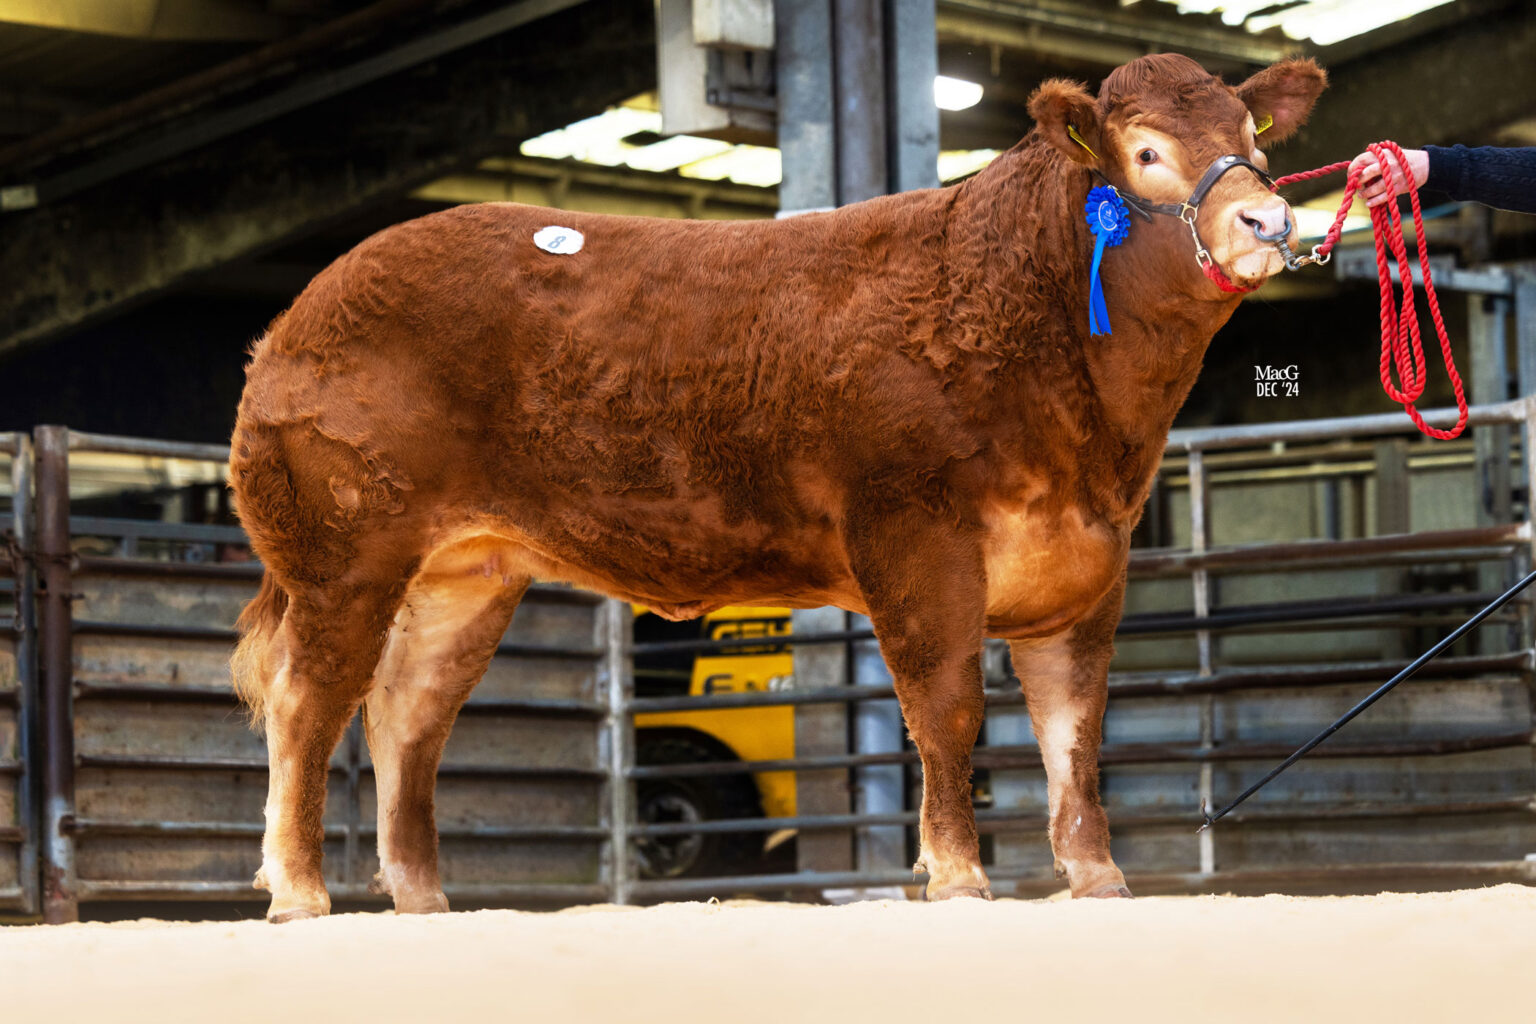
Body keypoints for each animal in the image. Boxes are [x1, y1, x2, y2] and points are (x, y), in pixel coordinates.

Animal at [230, 52, 1327, 921]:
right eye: (1145, 154)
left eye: (1252, 140)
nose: (1270, 217)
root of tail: (299, 314)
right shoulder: (915, 533)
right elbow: (948, 706)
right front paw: (959, 876)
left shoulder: (1091, 562)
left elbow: (1073, 727)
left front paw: (1097, 877)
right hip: (344, 554)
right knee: (307, 700)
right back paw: (300, 891)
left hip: (465, 573)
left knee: (406, 714)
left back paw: (422, 897)